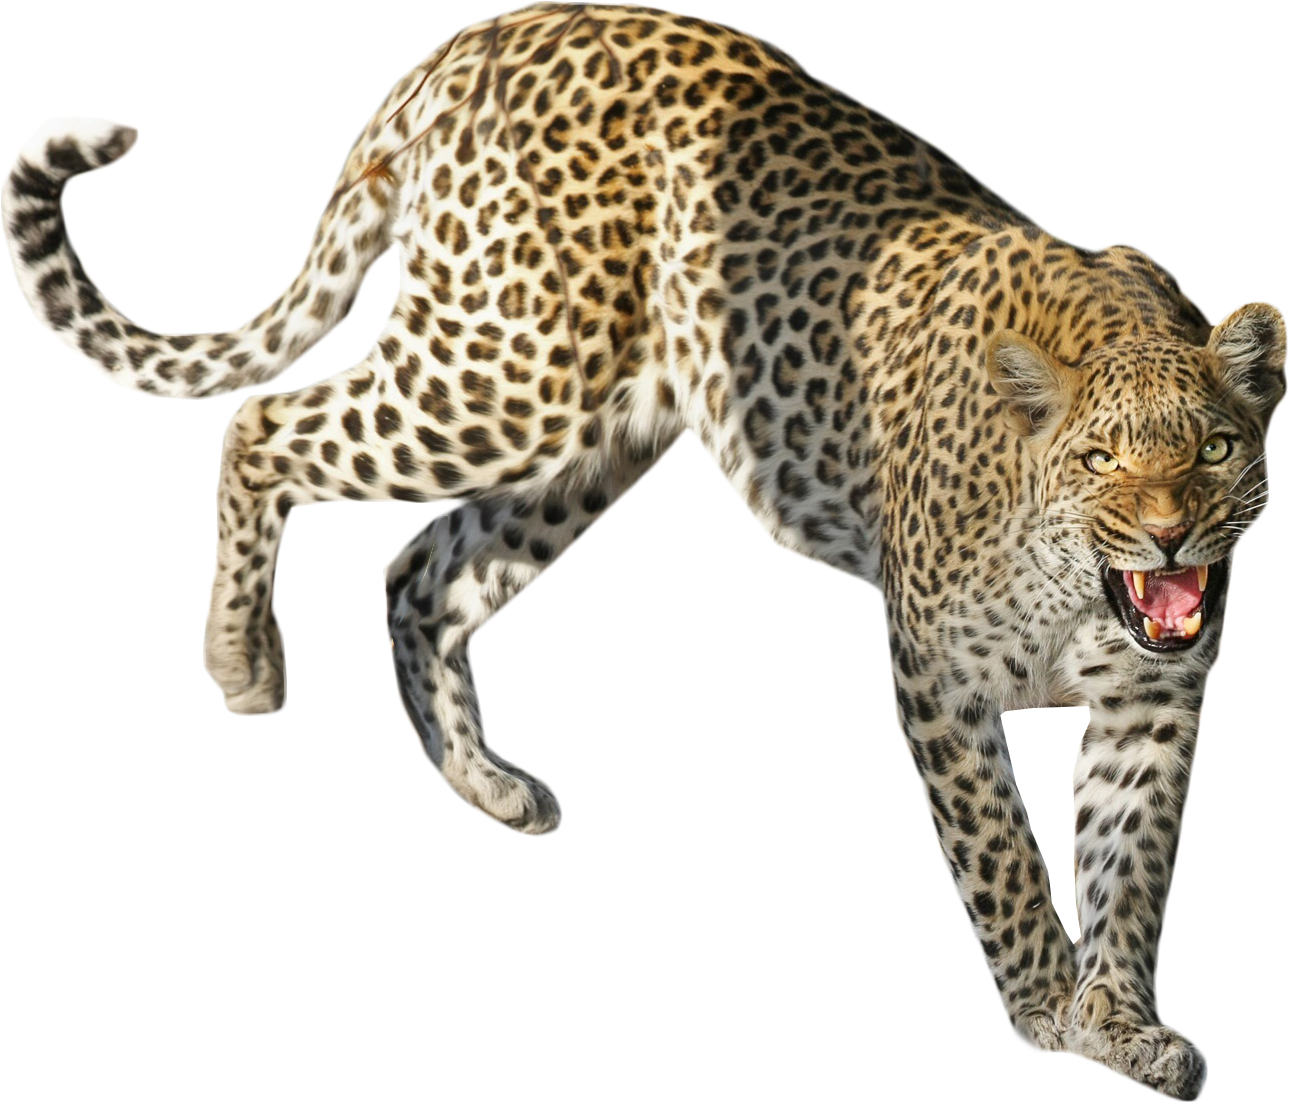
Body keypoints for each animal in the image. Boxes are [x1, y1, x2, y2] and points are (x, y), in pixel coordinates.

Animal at [3, 3, 1283, 1097]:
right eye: (1099, 458)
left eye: (1215, 447)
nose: (1168, 528)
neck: (1076, 584)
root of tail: (474, 39)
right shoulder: (939, 677)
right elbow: (1004, 861)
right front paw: (1047, 1013)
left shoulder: (1153, 704)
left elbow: (1129, 870)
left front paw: (1118, 1024)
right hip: (503, 375)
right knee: (263, 427)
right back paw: (240, 663)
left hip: (583, 444)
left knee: (419, 574)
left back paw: (490, 787)